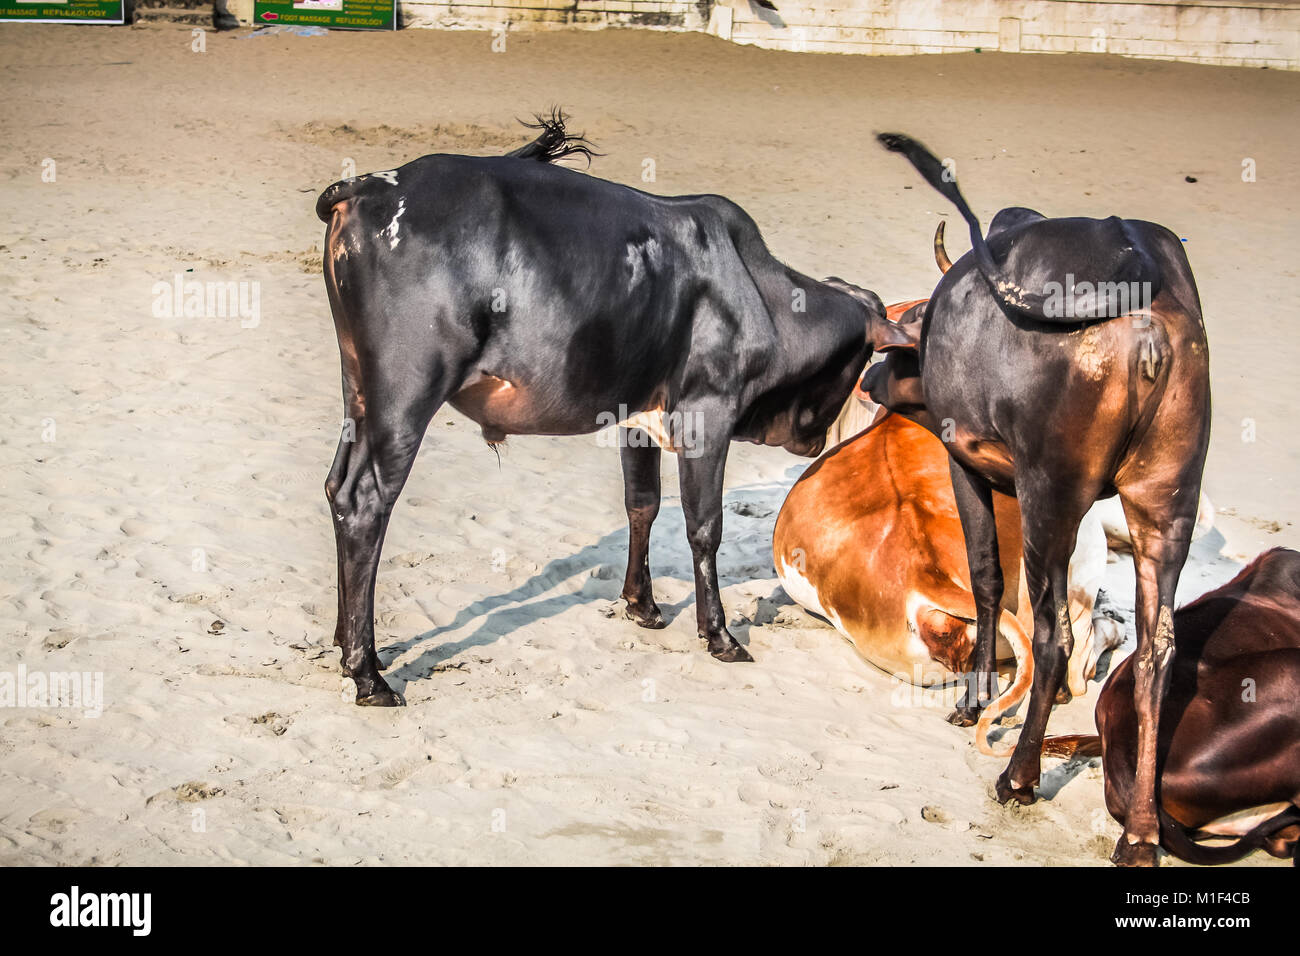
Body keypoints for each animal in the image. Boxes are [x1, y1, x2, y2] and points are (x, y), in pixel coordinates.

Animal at [316, 113, 900, 707]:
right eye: (863, 365)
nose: (815, 441)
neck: (759, 294)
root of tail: (369, 186)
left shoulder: (637, 419)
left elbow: (642, 505)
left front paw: (641, 604)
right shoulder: (707, 417)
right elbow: (704, 527)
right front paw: (718, 633)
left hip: (358, 390)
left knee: (338, 489)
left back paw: (348, 643)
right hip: (406, 394)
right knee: (366, 502)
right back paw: (366, 672)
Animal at [869, 133, 1211, 866]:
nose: (872, 377)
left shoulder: (969, 466)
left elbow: (987, 580)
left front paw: (974, 700)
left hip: (1052, 495)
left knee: (1054, 639)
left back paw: (1019, 776)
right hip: (1167, 502)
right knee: (1158, 651)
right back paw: (1140, 832)